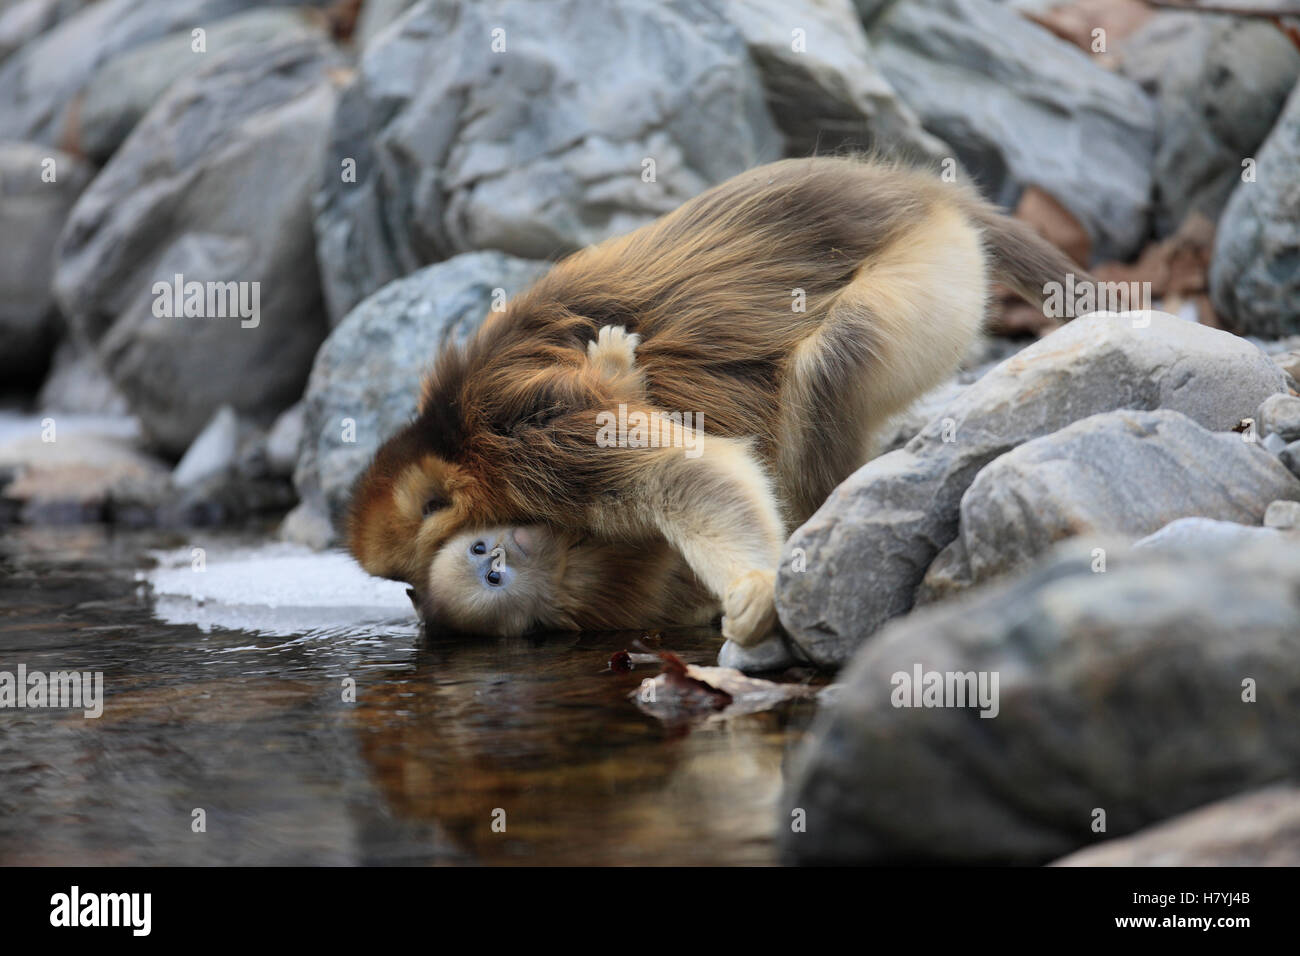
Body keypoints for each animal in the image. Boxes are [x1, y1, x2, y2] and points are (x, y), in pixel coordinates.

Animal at [347, 156, 1091, 647]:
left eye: (476, 551)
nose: (416, 600)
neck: (455, 430)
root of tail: (912, 193)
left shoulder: (524, 434)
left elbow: (682, 473)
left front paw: (756, 590)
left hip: (936, 272)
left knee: (827, 364)